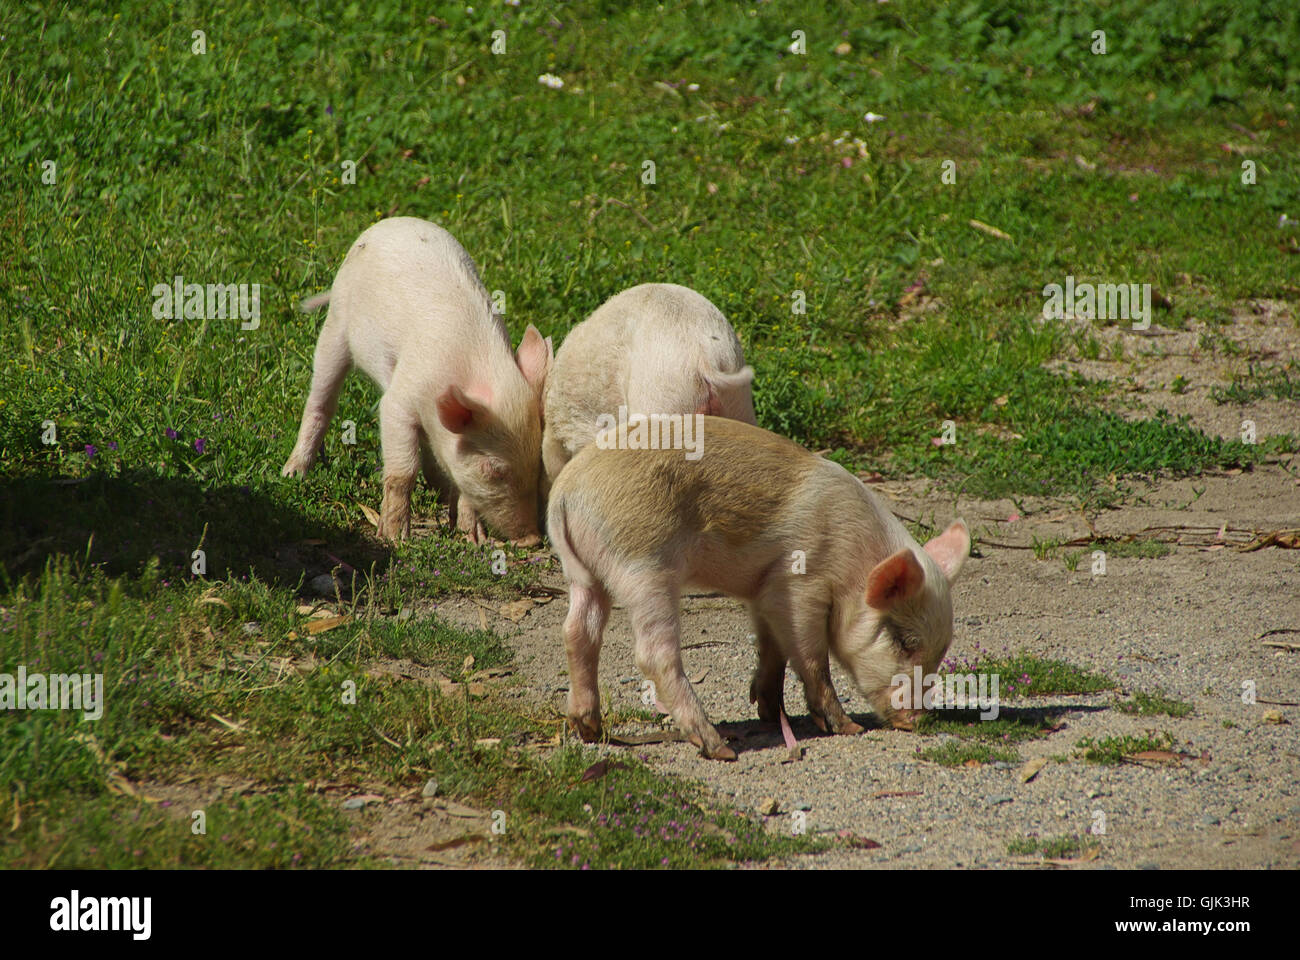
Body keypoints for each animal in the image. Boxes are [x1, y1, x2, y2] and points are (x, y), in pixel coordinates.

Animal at [281, 217, 551, 545]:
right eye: (494, 469)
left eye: (537, 462)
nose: (532, 539)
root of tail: (388, 223)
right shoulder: (398, 402)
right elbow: (402, 471)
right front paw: (395, 538)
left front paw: (473, 539)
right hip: (336, 327)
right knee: (321, 400)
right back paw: (293, 473)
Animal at [547, 416, 970, 760]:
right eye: (905, 642)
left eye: (940, 652)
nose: (918, 720)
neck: (853, 563)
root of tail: (565, 492)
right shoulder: (798, 584)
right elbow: (811, 657)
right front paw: (849, 728)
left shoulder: (765, 592)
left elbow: (773, 648)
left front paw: (769, 710)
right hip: (644, 565)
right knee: (652, 653)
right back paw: (719, 748)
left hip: (586, 575)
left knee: (577, 632)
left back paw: (589, 729)